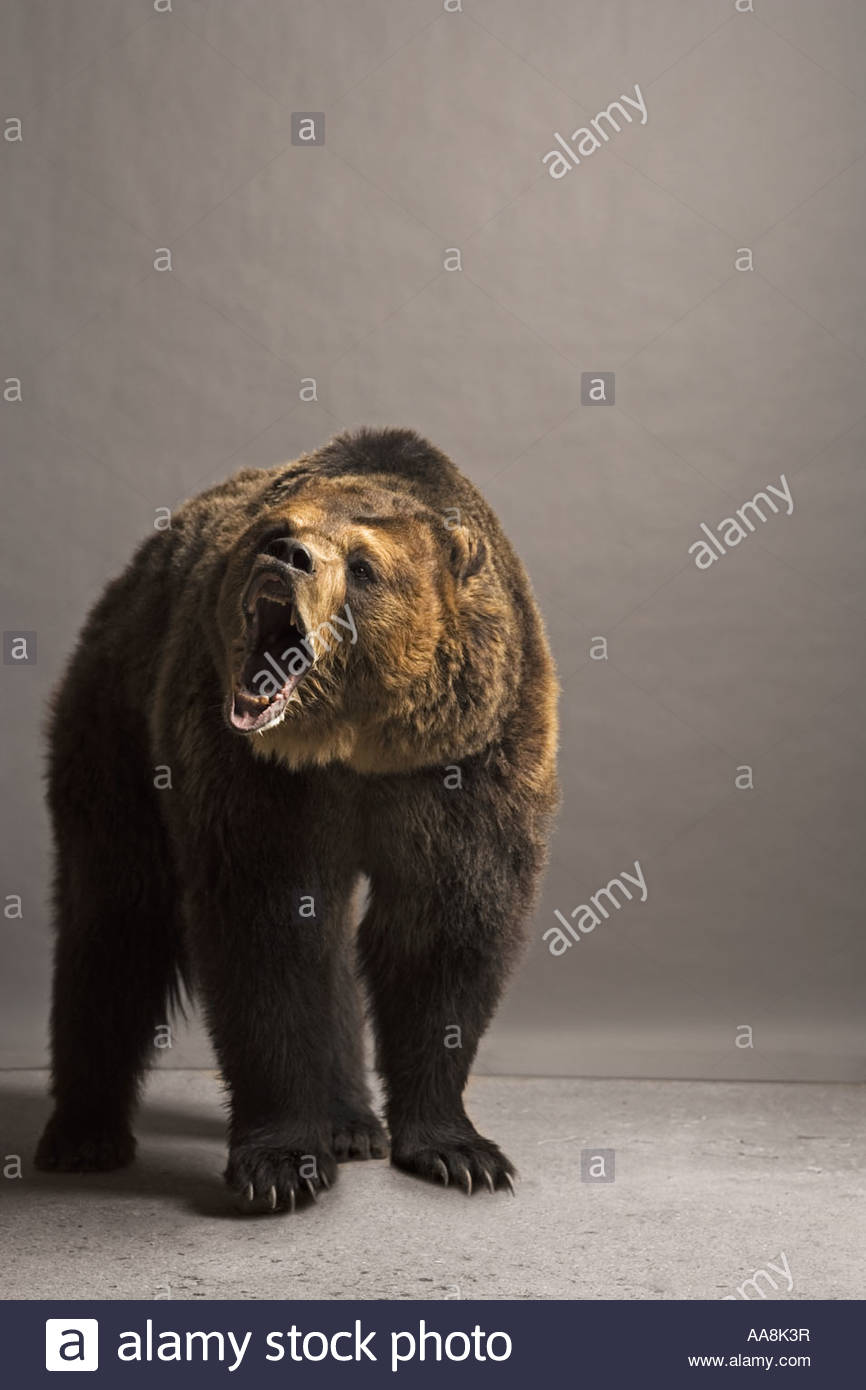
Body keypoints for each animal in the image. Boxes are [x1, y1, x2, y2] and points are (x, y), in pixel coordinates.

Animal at [35, 427, 559, 1211]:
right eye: (277, 531)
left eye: (365, 566)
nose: (287, 556)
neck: (357, 743)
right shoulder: (252, 773)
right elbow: (270, 934)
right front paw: (282, 1164)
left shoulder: (468, 766)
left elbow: (444, 929)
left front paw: (460, 1152)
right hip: (116, 720)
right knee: (114, 918)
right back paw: (83, 1134)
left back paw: (351, 1123)